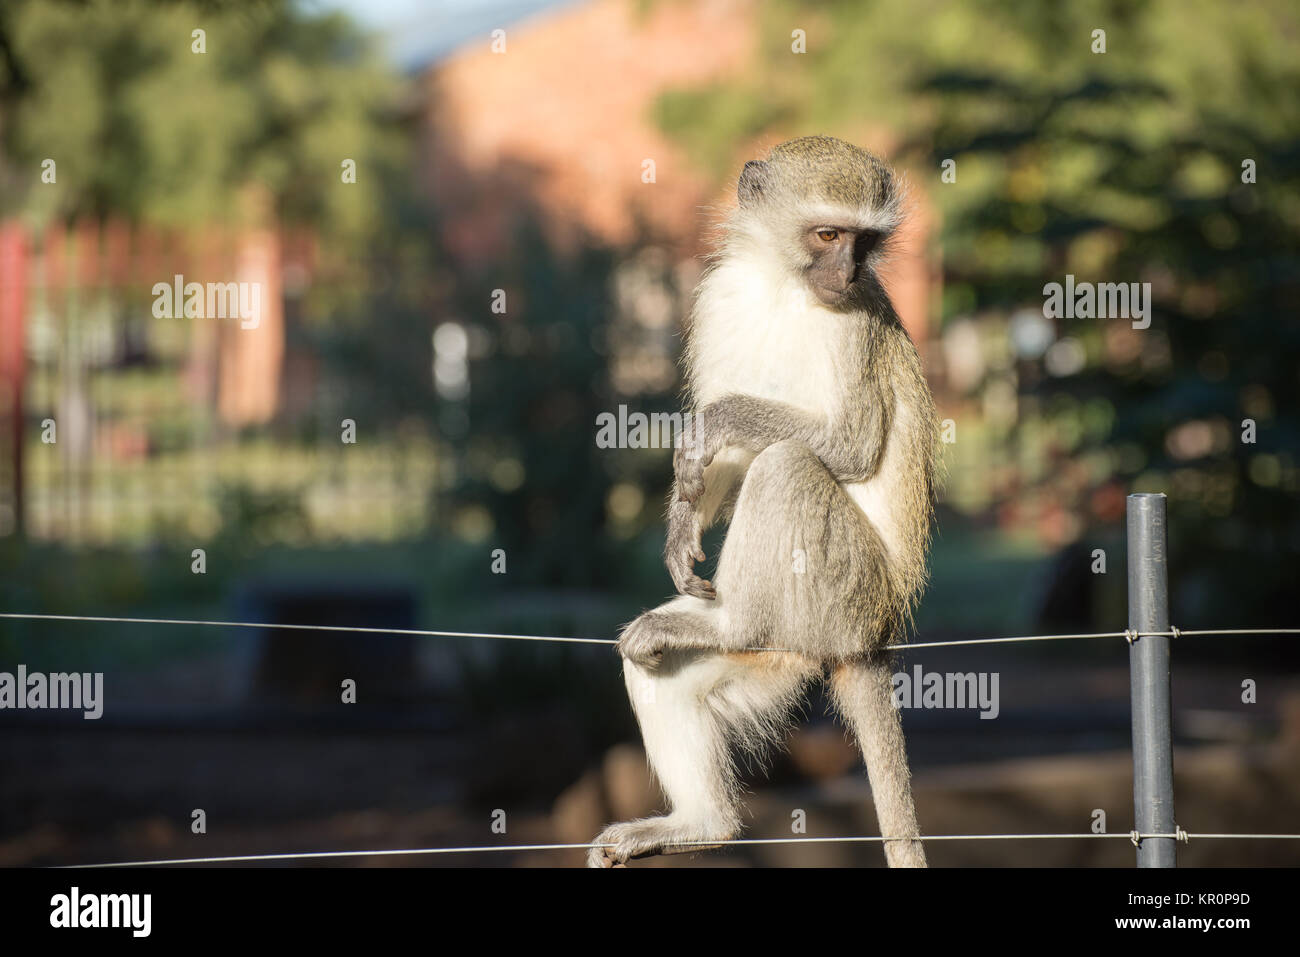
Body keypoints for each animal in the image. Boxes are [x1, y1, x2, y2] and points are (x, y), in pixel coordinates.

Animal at [589, 136, 938, 868]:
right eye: (828, 235)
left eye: (866, 242)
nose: (847, 272)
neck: (785, 285)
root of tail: (878, 633)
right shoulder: (721, 296)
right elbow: (725, 466)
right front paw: (681, 518)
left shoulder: (856, 324)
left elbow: (847, 444)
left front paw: (716, 422)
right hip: (792, 647)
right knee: (663, 668)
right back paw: (701, 823)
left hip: (843, 591)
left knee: (786, 465)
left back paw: (726, 622)